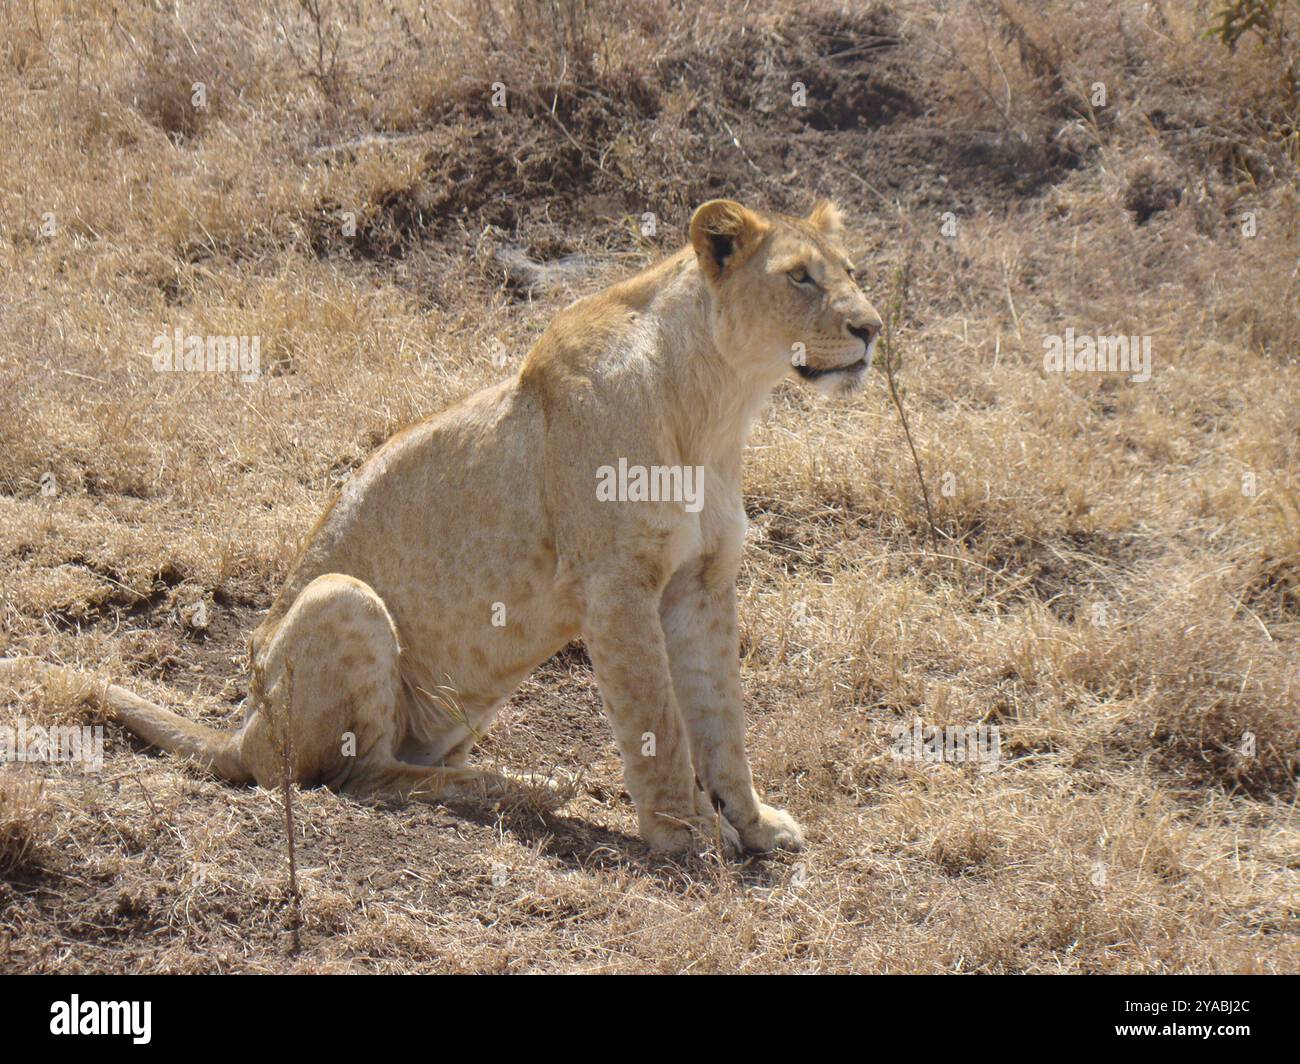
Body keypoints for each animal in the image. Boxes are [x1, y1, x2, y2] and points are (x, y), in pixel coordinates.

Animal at [0, 198, 882, 855]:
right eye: (800, 278)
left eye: (851, 273)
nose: (872, 328)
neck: (717, 404)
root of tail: (241, 729)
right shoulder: (616, 586)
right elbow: (657, 721)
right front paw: (686, 838)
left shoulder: (702, 583)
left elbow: (721, 716)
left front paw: (756, 825)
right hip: (341, 599)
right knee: (351, 777)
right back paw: (518, 789)